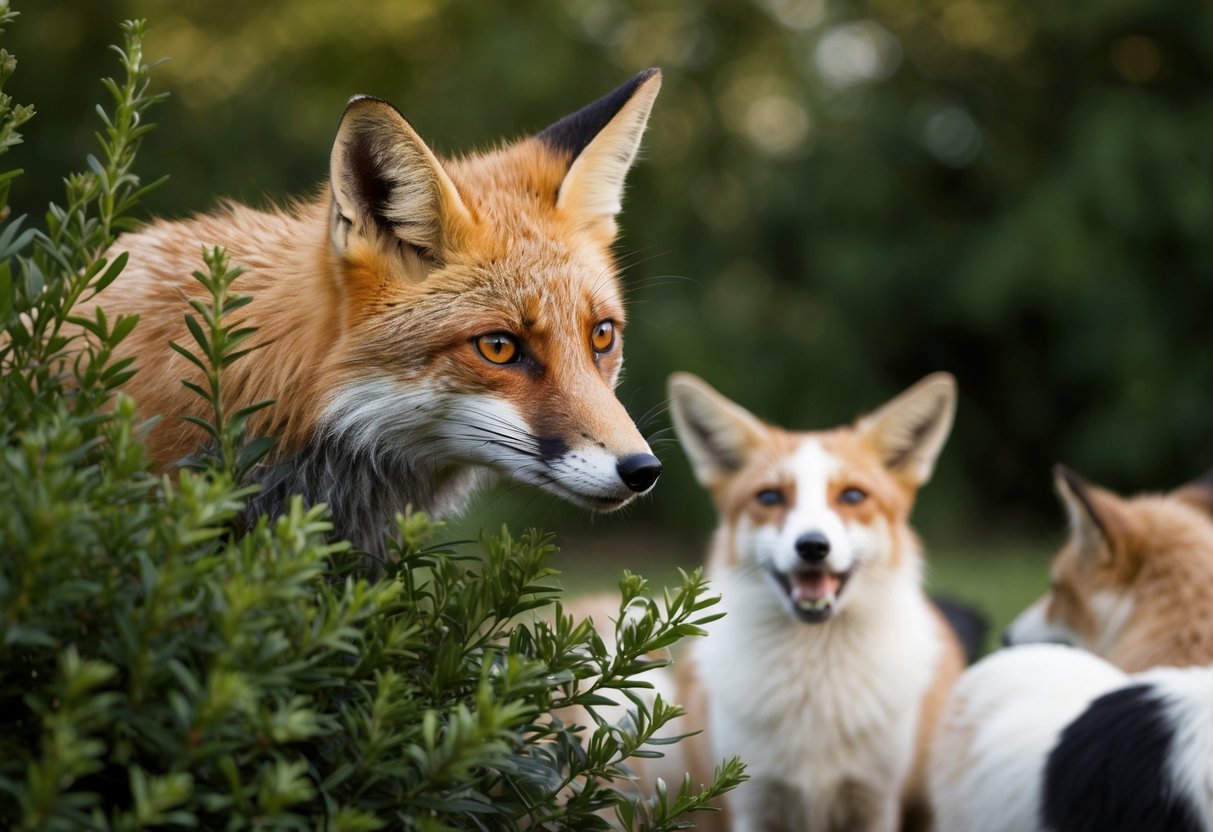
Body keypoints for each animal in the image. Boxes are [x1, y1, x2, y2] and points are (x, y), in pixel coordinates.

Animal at [665, 372, 967, 832]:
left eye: (853, 496)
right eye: (770, 497)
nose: (812, 546)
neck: (815, 686)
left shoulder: (876, 803)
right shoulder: (752, 803)